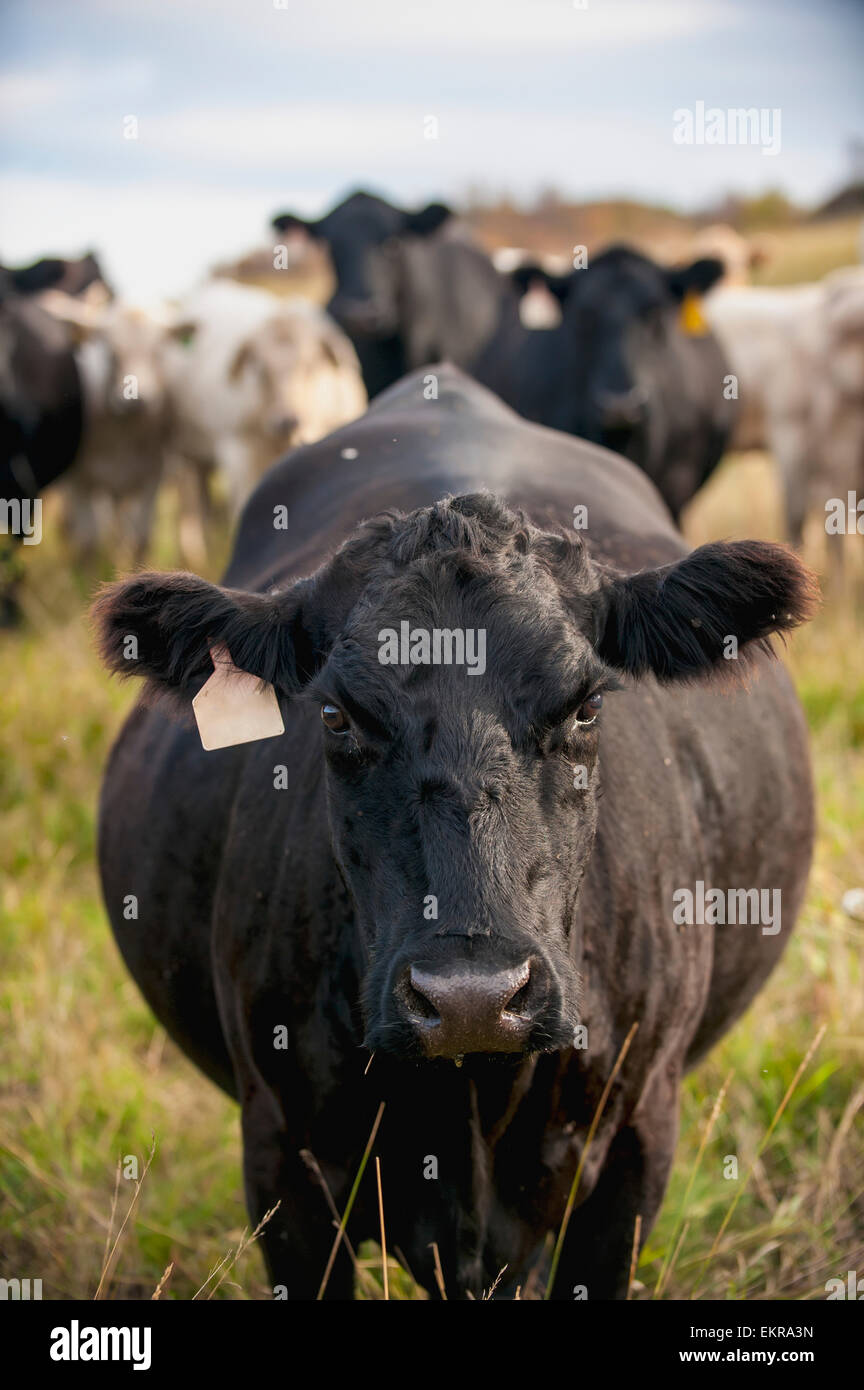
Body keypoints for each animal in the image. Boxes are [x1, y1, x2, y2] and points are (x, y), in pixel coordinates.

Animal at [160, 279, 366, 558]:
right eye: (260, 369)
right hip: (184, 452)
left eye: (311, 365)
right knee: (190, 500)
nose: (287, 421)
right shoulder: (239, 453)